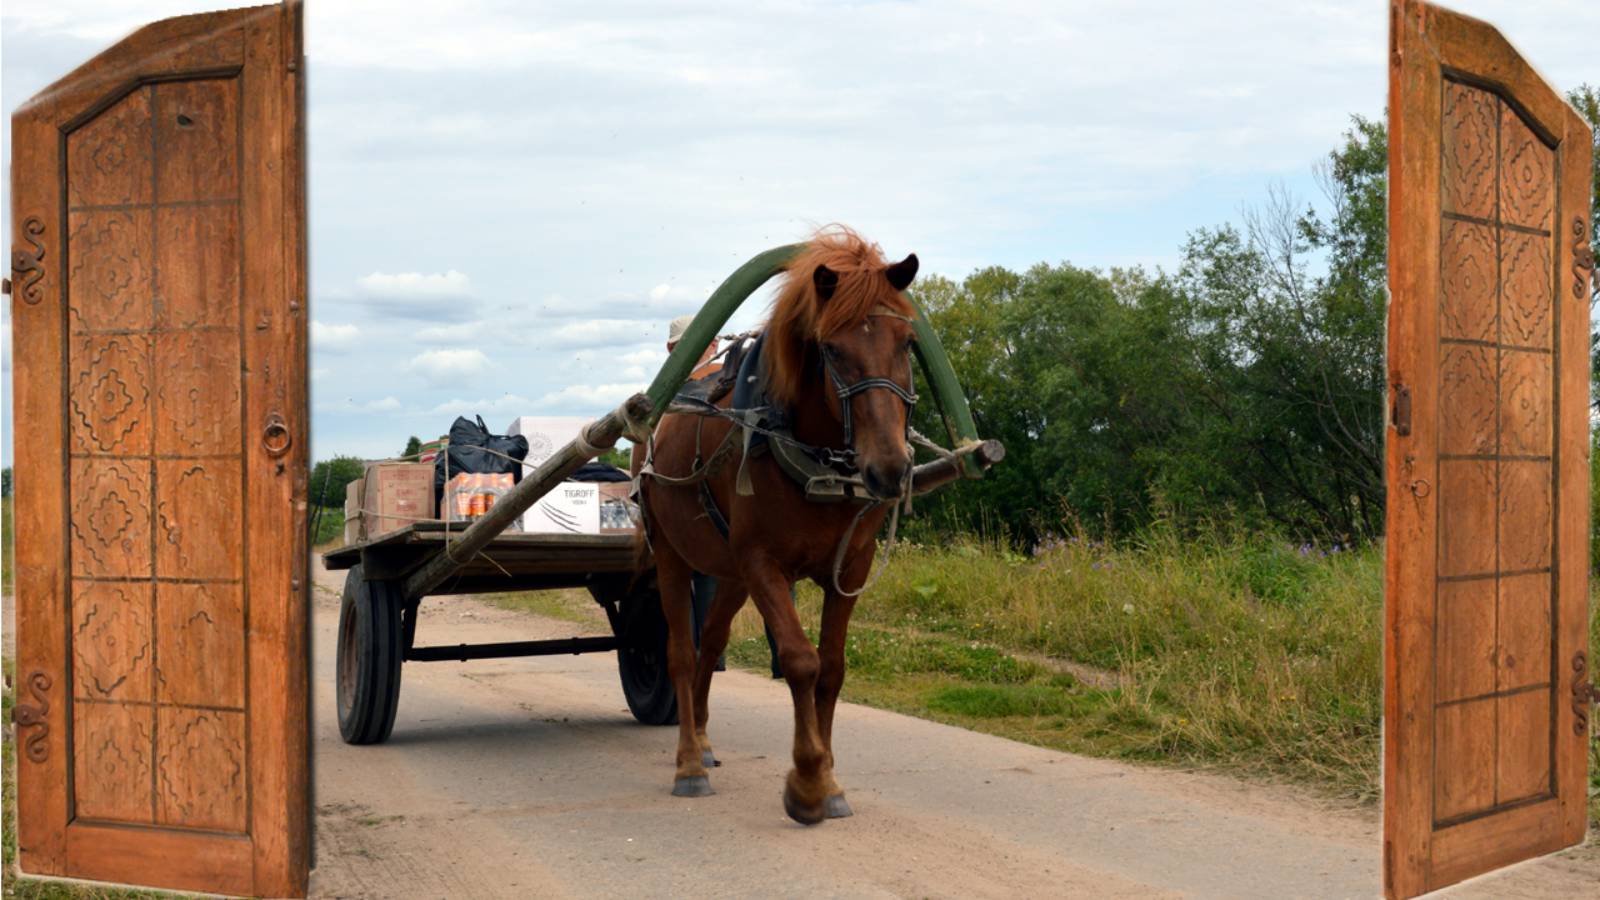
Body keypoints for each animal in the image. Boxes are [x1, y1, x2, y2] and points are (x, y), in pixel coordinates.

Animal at [633, 225, 921, 819]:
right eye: (831, 349)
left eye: (906, 343)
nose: (889, 469)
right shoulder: (764, 563)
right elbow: (799, 661)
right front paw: (807, 782)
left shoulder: (848, 568)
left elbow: (832, 669)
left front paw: (829, 780)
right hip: (672, 553)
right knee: (681, 654)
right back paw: (689, 763)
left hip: (728, 572)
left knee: (711, 644)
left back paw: (705, 742)